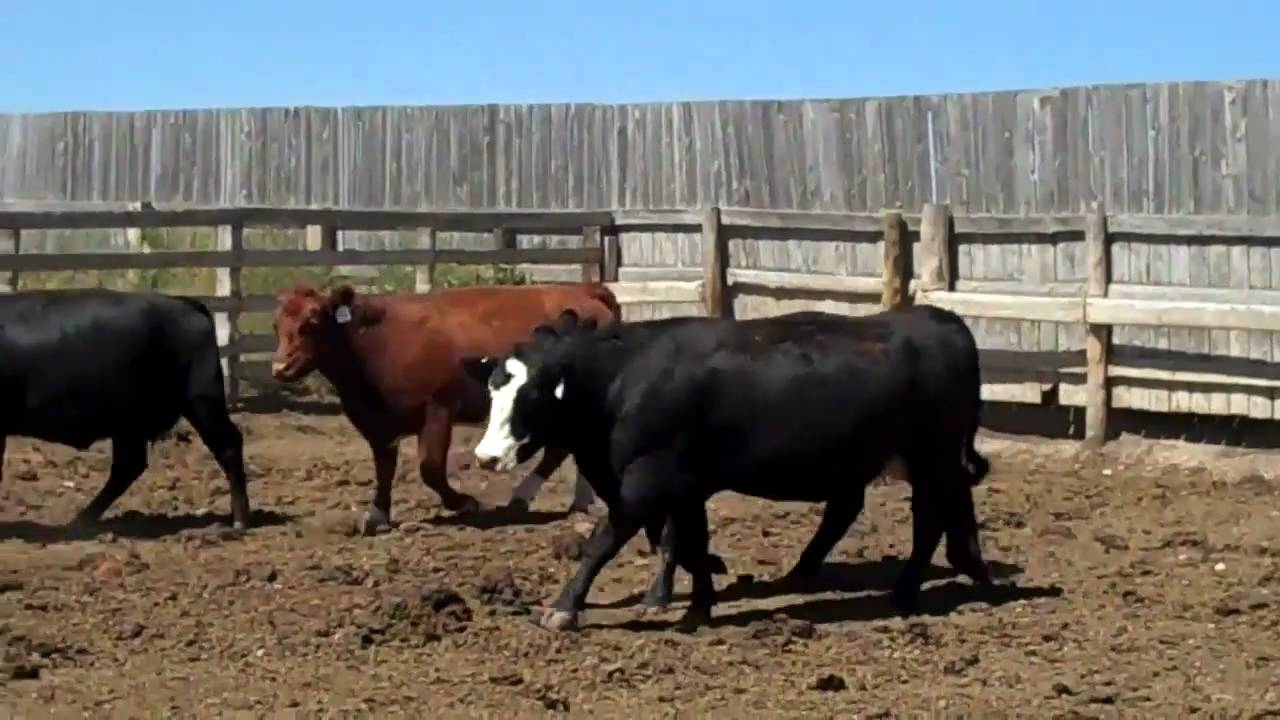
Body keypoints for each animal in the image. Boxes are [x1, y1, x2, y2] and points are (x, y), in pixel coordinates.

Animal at [0, 288, 250, 530]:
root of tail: (183, 303)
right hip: (131, 424)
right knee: (128, 466)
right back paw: (82, 520)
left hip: (201, 400)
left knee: (228, 445)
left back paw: (239, 520)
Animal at [270, 281, 622, 534]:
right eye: (277, 326)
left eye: (312, 323)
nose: (280, 368)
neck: (378, 343)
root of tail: (582, 289)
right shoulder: (376, 422)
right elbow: (384, 466)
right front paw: (377, 514)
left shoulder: (438, 410)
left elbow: (430, 467)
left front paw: (463, 502)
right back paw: (578, 503)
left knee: (557, 450)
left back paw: (522, 497)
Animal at [462, 305, 999, 632]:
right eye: (493, 387)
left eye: (532, 394)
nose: (486, 456)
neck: (626, 378)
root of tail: (941, 321)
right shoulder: (685, 487)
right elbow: (691, 542)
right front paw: (698, 604)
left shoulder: (645, 481)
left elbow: (605, 541)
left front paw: (563, 609)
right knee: (915, 510)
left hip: (930, 456)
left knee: (928, 518)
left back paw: (910, 589)